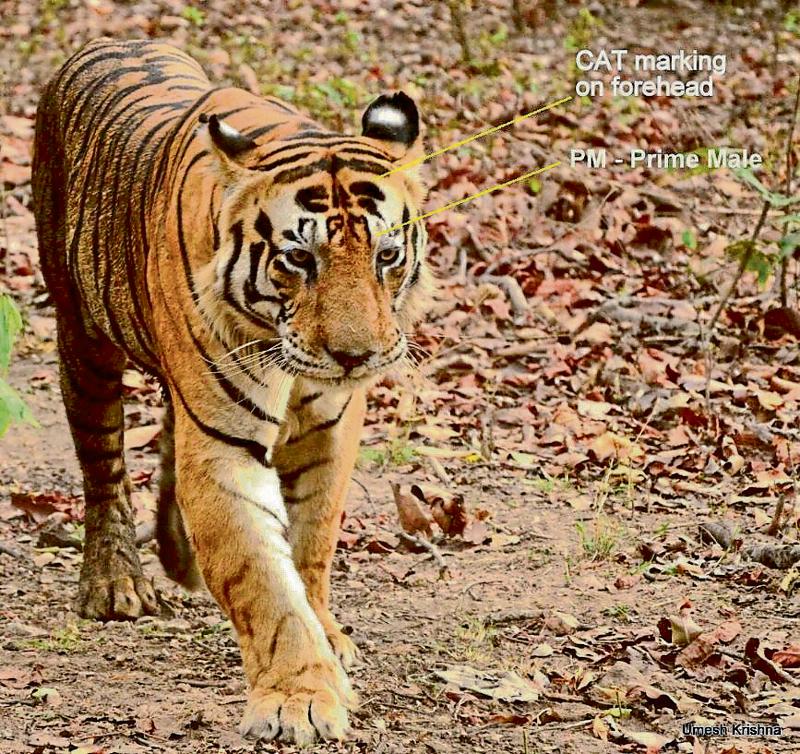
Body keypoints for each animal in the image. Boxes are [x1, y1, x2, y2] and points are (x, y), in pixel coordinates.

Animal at [31, 37, 430, 744]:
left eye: (385, 255)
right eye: (299, 259)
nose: (354, 355)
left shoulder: (331, 428)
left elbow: (311, 544)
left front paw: (328, 638)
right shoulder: (223, 446)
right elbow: (262, 580)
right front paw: (300, 696)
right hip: (83, 337)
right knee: (102, 462)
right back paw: (116, 583)